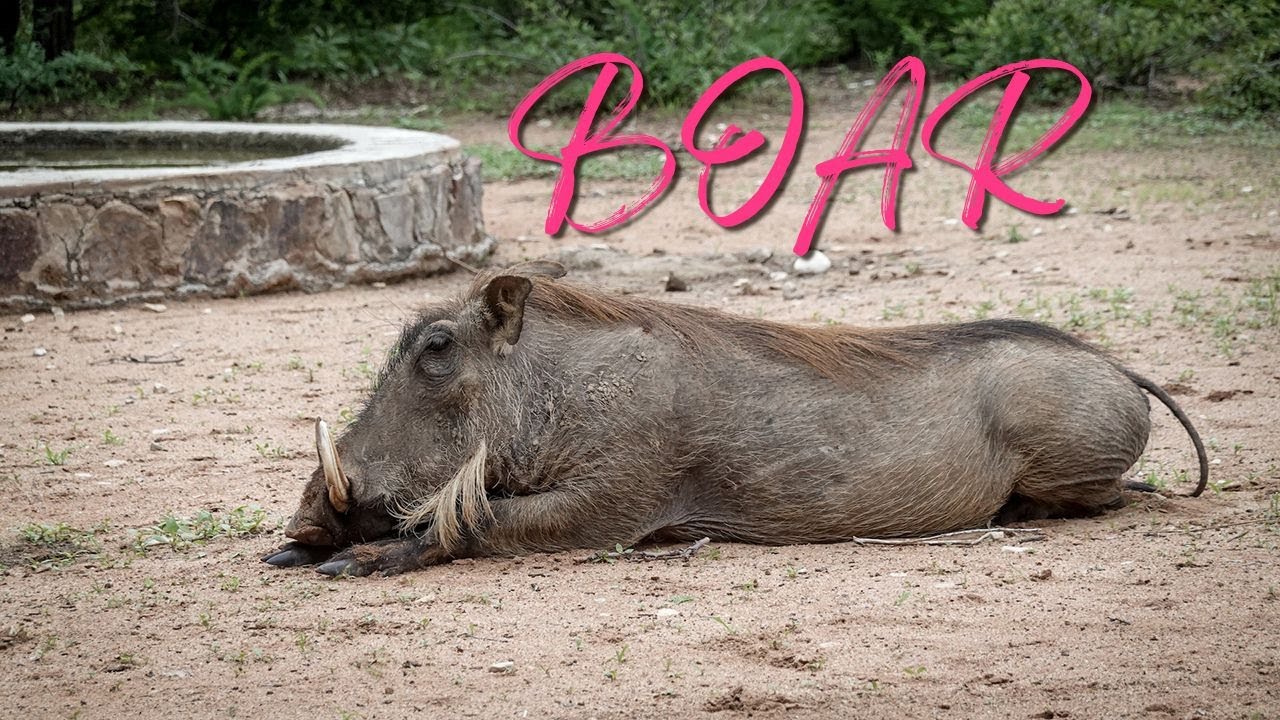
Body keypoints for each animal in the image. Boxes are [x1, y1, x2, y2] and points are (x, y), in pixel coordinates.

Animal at [263, 261, 1207, 576]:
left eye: (436, 349)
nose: (308, 520)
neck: (557, 385)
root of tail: (1118, 366)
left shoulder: (611, 504)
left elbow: (471, 521)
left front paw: (353, 562)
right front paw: (294, 554)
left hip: (1066, 462)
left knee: (1099, 496)